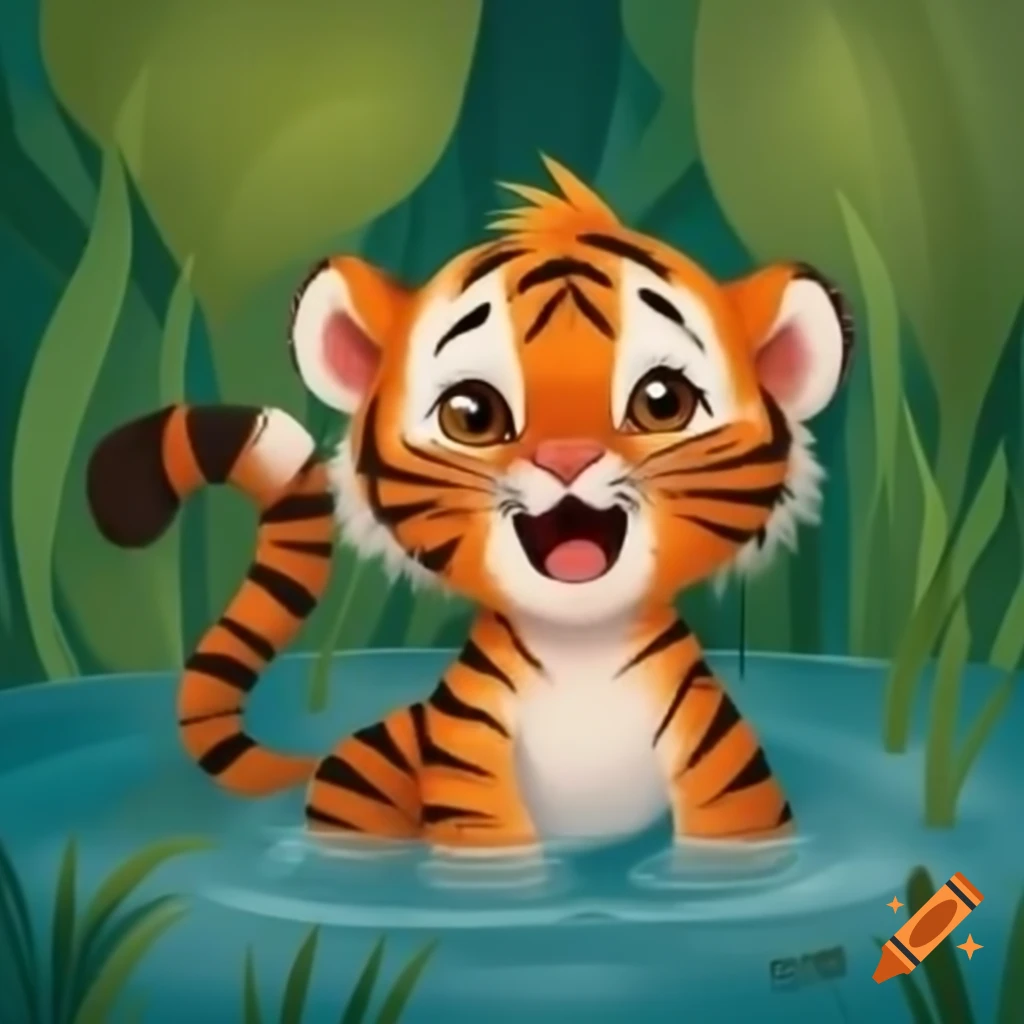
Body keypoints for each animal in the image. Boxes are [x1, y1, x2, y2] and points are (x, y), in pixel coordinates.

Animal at [86, 157, 852, 853]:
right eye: (473, 414)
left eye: (662, 402)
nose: (566, 459)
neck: (582, 650)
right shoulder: (472, 784)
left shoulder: (728, 784)